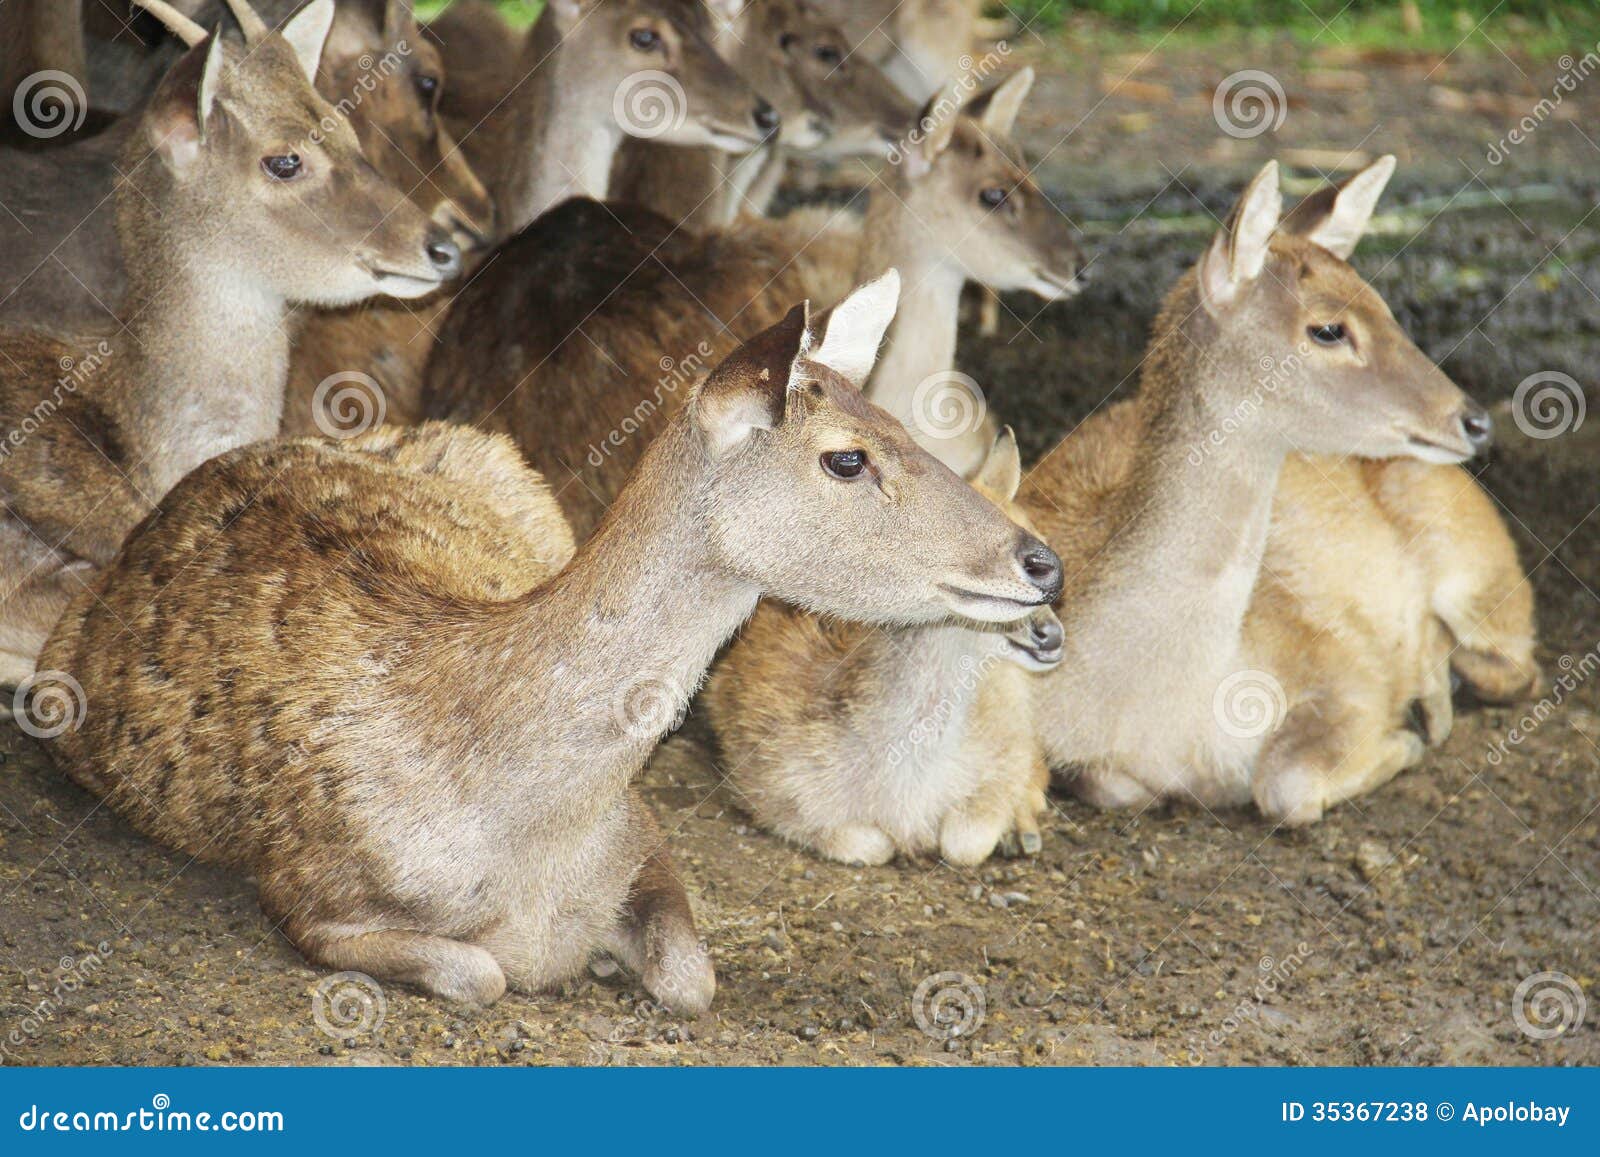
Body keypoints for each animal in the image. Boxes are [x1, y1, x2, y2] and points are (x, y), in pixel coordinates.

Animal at [706, 427, 1061, 867]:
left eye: (1043, 545)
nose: (1051, 636)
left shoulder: (1006, 749)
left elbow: (965, 843)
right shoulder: (767, 788)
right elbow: (872, 846)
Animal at [1018, 158, 1538, 826]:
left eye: (1387, 307)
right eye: (1328, 328)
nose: (1474, 420)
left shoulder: (1342, 664)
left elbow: (1287, 784)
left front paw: (1410, 732)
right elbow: (1120, 789)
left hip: (1479, 569)